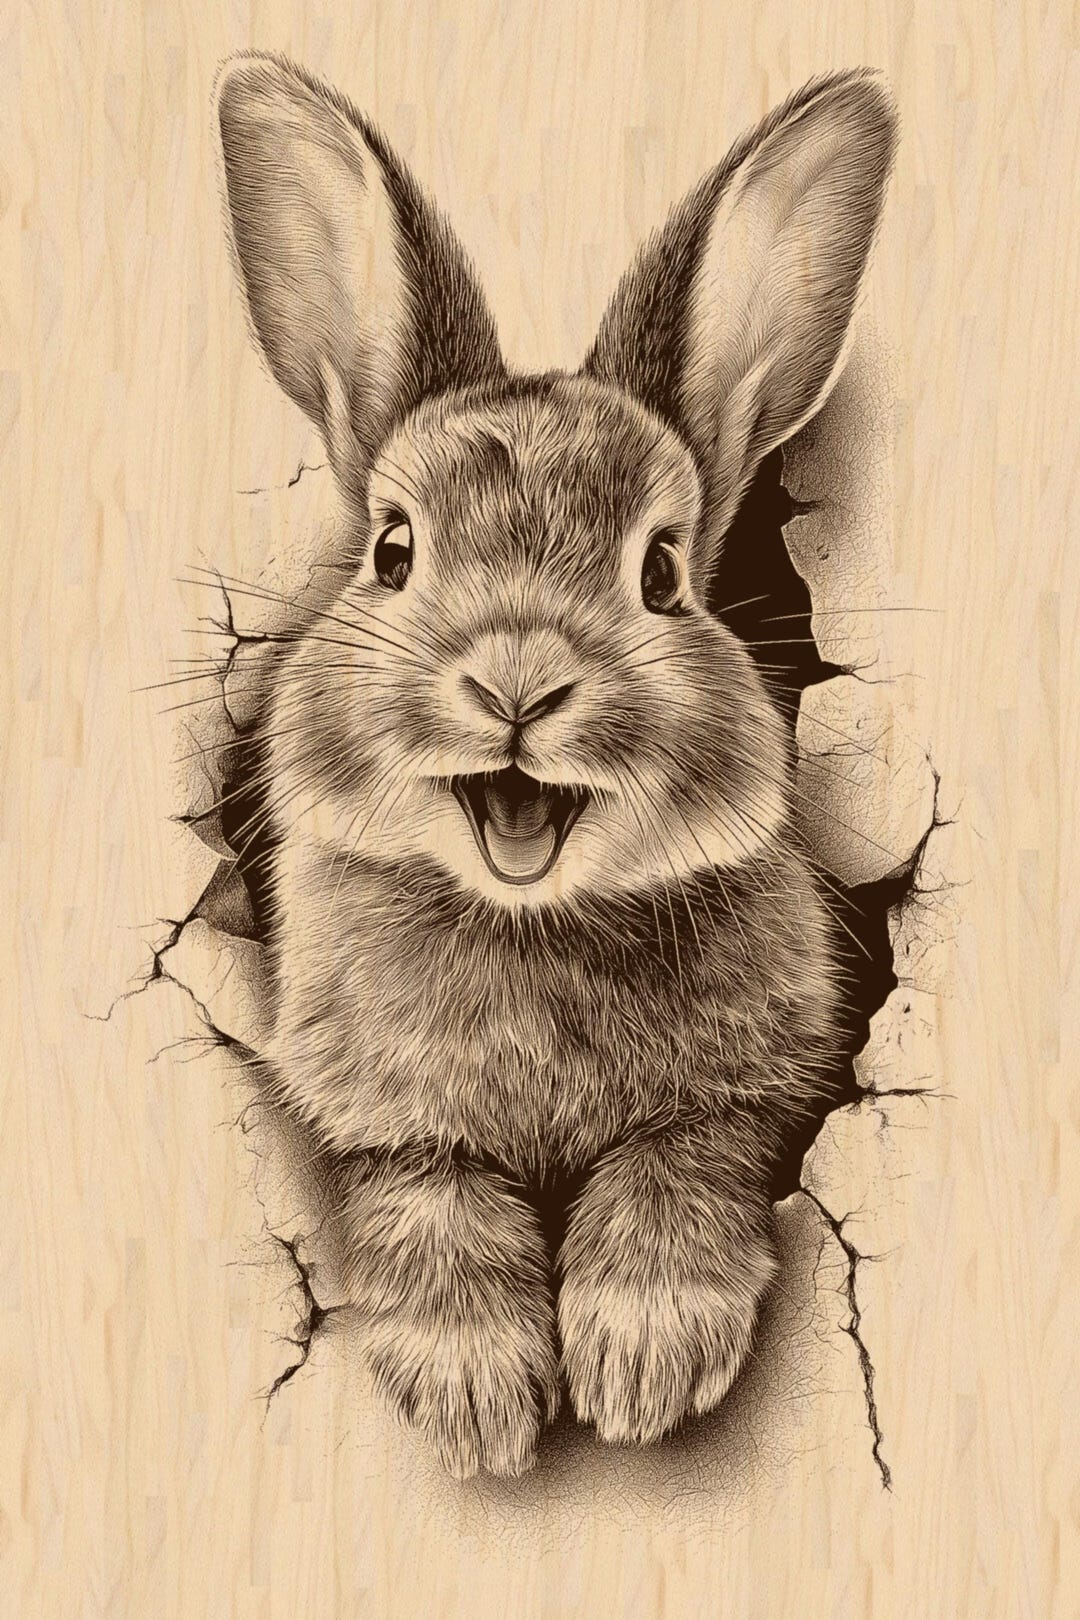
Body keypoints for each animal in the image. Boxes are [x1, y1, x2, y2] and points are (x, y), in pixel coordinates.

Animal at [215, 52, 896, 1478]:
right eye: (394, 552)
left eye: (663, 573)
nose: (517, 681)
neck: (529, 922)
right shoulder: (381, 1121)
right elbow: (426, 1200)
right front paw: (478, 1398)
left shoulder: (753, 1096)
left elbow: (679, 1168)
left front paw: (644, 1366)